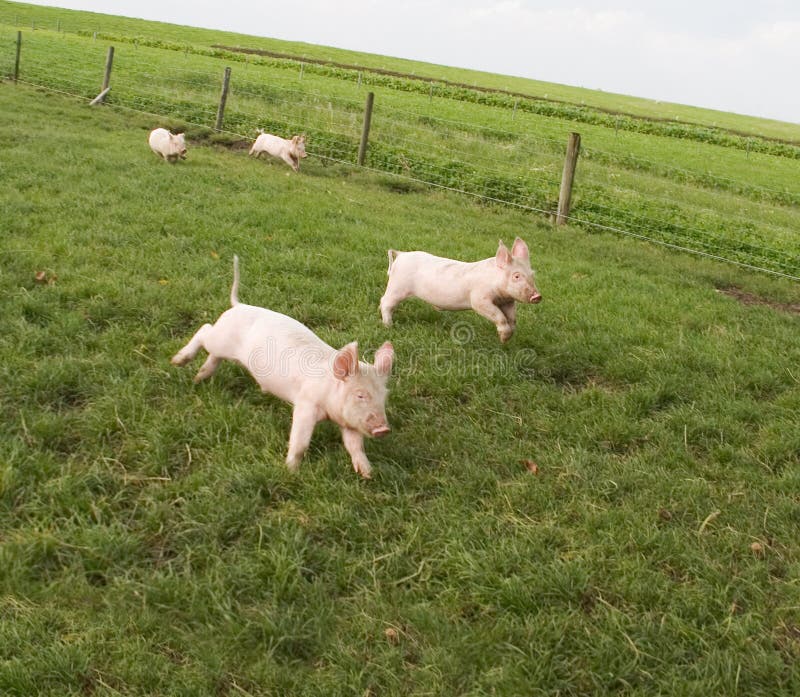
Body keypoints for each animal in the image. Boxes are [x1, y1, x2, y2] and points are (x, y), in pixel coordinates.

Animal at [171, 256, 394, 479]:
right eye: (360, 395)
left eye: (383, 396)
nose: (383, 429)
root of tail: (239, 305)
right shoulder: (305, 405)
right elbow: (300, 441)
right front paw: (290, 471)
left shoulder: (349, 422)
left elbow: (355, 445)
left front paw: (368, 473)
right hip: (220, 338)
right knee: (204, 329)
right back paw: (177, 361)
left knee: (213, 356)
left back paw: (198, 378)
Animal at [379, 237, 542, 343]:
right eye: (516, 276)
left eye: (532, 274)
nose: (537, 296)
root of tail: (401, 254)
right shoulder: (478, 299)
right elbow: (499, 316)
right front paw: (503, 338)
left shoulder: (507, 301)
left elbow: (512, 318)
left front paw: (505, 340)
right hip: (398, 286)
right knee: (385, 301)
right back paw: (388, 326)